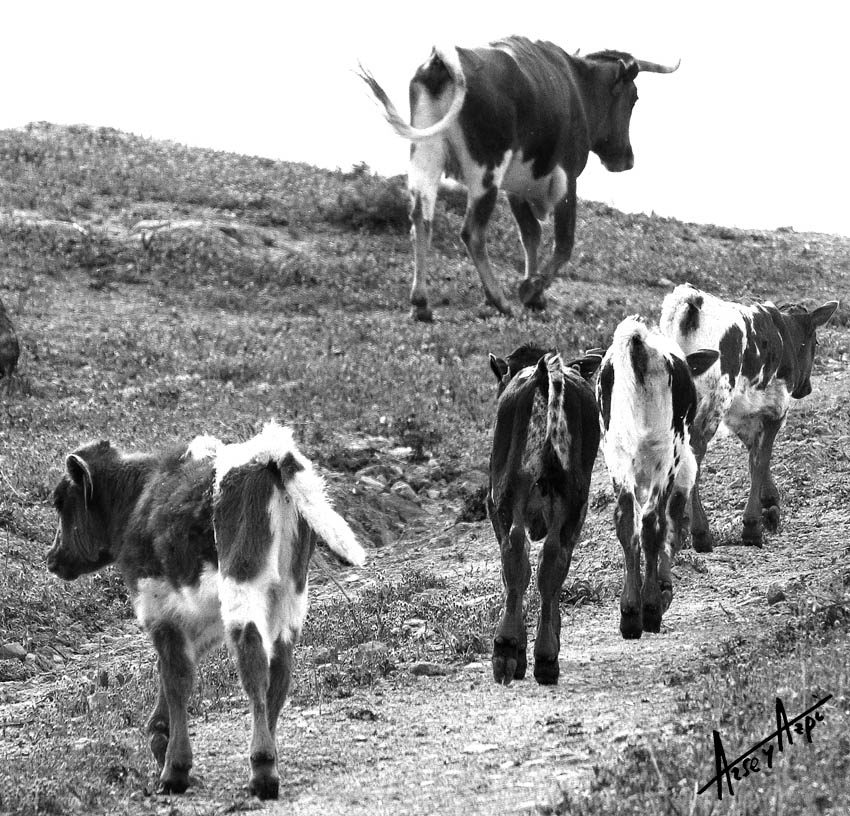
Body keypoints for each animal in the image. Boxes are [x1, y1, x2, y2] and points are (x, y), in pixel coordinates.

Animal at [47, 421, 365, 800]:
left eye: (61, 502)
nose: (52, 558)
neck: (138, 500)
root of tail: (269, 454)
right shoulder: (202, 619)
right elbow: (177, 668)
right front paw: (160, 738)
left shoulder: (156, 606)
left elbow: (176, 678)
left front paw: (174, 768)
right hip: (290, 594)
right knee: (280, 671)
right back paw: (269, 756)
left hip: (243, 581)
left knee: (253, 663)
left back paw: (262, 769)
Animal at [359, 37, 679, 321]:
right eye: (633, 98)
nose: (627, 159)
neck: (576, 84)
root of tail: (447, 57)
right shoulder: (567, 179)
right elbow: (564, 243)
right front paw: (532, 289)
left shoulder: (516, 189)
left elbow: (531, 235)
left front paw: (534, 290)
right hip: (486, 171)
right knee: (472, 232)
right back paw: (498, 299)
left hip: (426, 156)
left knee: (421, 221)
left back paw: (421, 303)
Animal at [486, 343, 603, 685]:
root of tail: (542, 372)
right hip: (571, 495)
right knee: (550, 557)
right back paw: (541, 654)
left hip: (510, 489)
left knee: (522, 555)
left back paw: (512, 650)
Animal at [597, 317, 718, 639]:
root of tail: (639, 344)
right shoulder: (680, 470)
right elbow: (673, 525)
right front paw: (662, 591)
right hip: (667, 454)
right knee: (654, 522)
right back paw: (649, 608)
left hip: (617, 453)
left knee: (626, 520)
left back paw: (629, 612)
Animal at [660, 284, 839, 549]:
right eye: (815, 341)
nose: (806, 388)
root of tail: (692, 300)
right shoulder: (777, 408)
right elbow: (760, 458)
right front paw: (753, 526)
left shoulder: (742, 413)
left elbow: (753, 451)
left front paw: (770, 504)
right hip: (712, 403)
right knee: (695, 454)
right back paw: (700, 532)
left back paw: (676, 526)